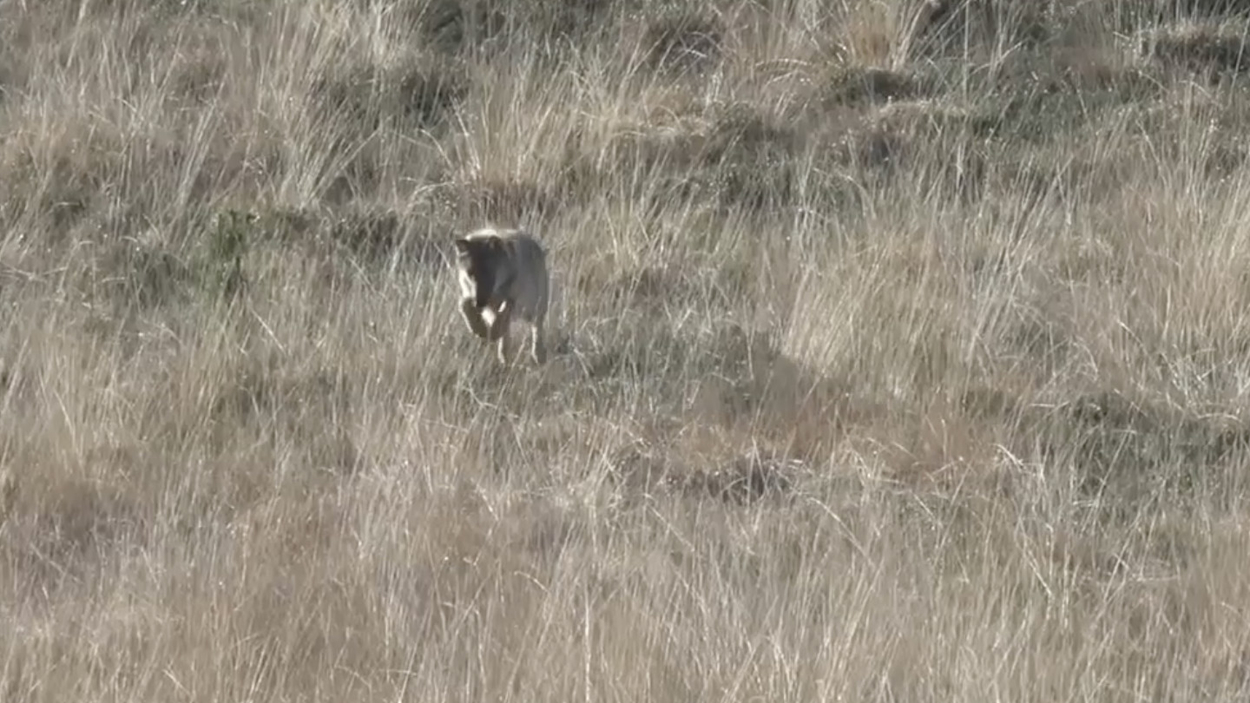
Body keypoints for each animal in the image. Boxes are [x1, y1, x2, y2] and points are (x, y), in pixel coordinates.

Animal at [453, 227, 550, 365]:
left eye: (489, 273)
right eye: (471, 274)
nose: (479, 303)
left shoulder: (511, 301)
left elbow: (503, 316)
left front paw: (489, 332)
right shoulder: (471, 296)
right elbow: (464, 305)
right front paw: (480, 330)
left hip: (535, 309)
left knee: (536, 329)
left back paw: (538, 355)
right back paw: (504, 356)